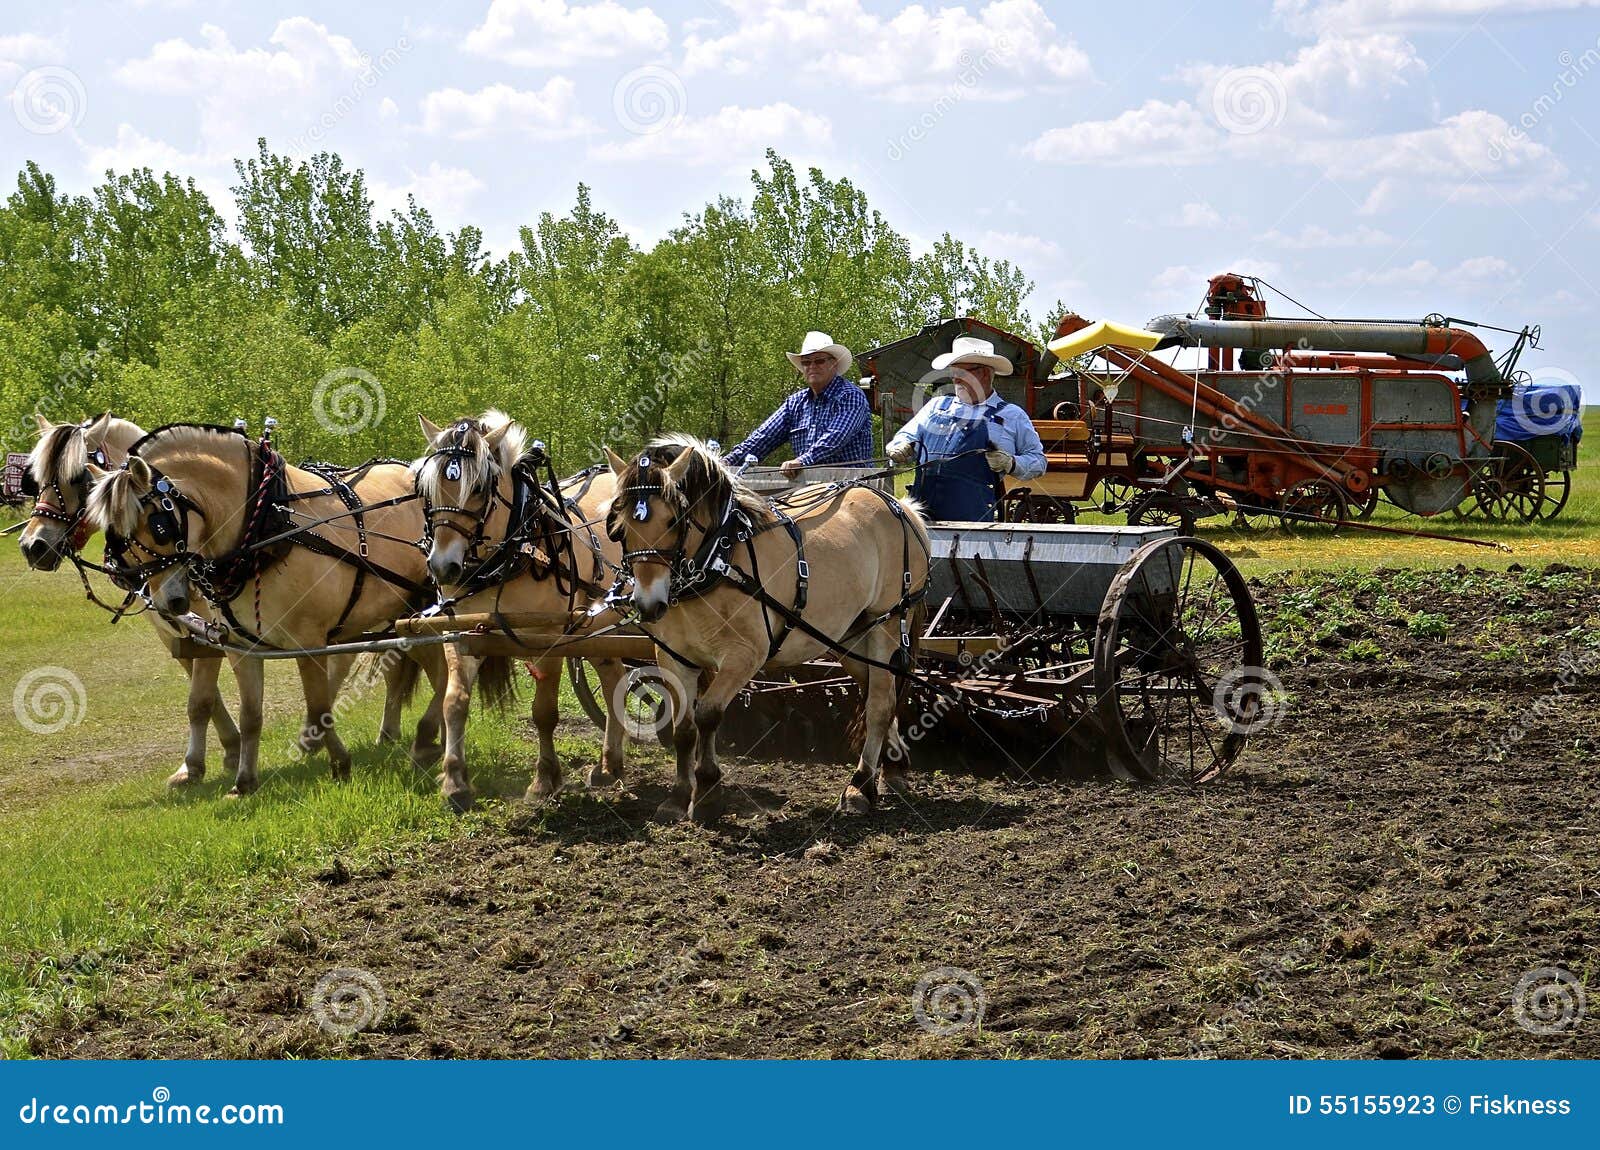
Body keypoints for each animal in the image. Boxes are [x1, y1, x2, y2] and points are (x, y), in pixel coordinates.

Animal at [20, 413, 245, 785]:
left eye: (79, 479)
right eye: (35, 480)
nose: (32, 546)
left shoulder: (212, 628)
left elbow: (199, 699)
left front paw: (195, 764)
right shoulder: (173, 630)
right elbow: (206, 696)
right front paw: (225, 751)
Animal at [86, 423, 449, 796]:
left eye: (158, 526)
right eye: (115, 537)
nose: (167, 602)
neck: (265, 528)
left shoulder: (309, 641)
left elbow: (317, 704)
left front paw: (339, 763)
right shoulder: (242, 648)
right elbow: (249, 715)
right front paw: (244, 781)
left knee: (443, 671)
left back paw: (428, 736)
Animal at [412, 412, 631, 811]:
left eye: (479, 487)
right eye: (425, 487)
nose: (443, 567)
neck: (516, 549)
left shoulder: (548, 636)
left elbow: (543, 712)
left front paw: (544, 780)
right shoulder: (460, 633)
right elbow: (454, 702)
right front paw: (454, 781)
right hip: (593, 627)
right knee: (613, 676)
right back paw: (609, 764)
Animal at [604, 436, 930, 824]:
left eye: (674, 519)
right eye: (620, 525)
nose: (649, 604)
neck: (719, 558)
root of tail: (901, 507)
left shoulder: (745, 655)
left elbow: (707, 714)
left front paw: (708, 791)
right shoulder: (674, 655)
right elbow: (683, 726)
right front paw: (678, 797)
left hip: (887, 623)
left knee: (880, 703)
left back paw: (860, 787)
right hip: (850, 634)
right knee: (879, 692)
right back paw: (891, 768)